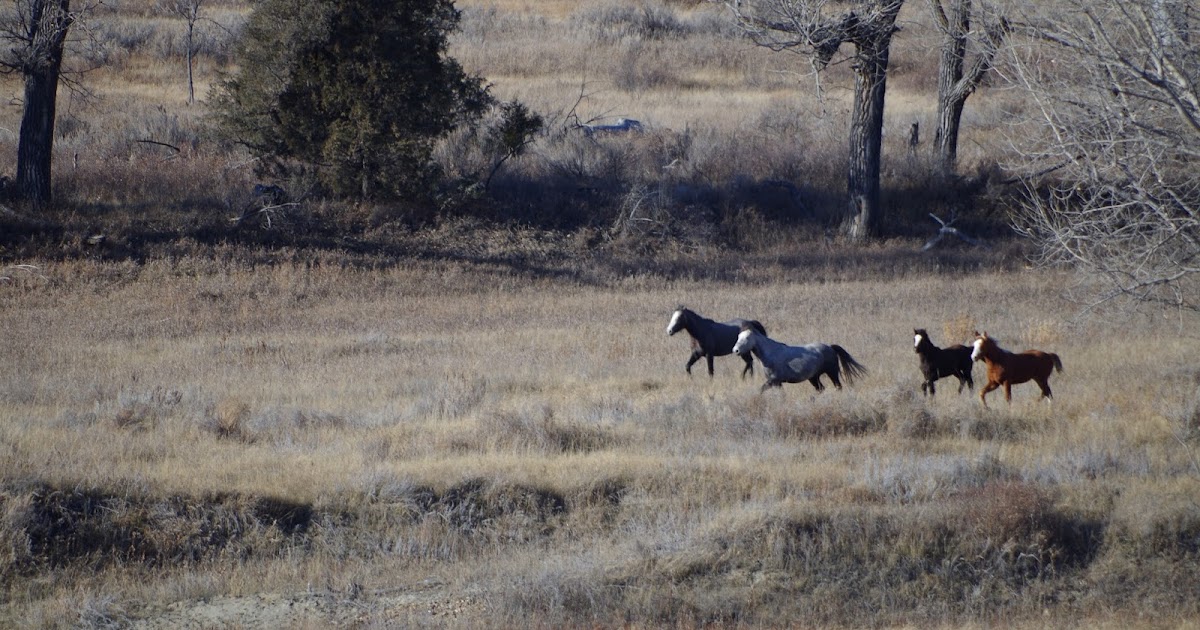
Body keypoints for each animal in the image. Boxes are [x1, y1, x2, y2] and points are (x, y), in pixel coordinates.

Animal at [731, 323, 868, 393]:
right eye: (738, 337)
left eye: (746, 338)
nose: (735, 350)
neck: (770, 354)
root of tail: (830, 347)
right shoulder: (777, 383)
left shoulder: (773, 380)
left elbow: (761, 390)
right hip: (814, 377)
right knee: (820, 389)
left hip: (832, 373)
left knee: (838, 387)